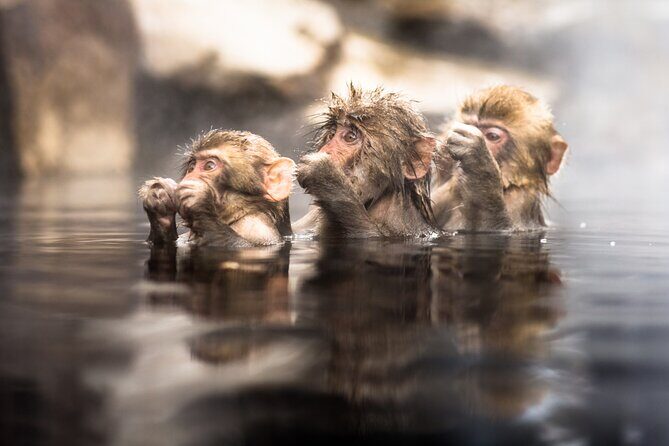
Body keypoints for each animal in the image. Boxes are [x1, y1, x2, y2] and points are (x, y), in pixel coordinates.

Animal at [138, 130, 295, 248]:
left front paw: (197, 199)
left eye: (209, 166)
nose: (189, 177)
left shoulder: (258, 228)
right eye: (191, 167)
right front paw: (158, 197)